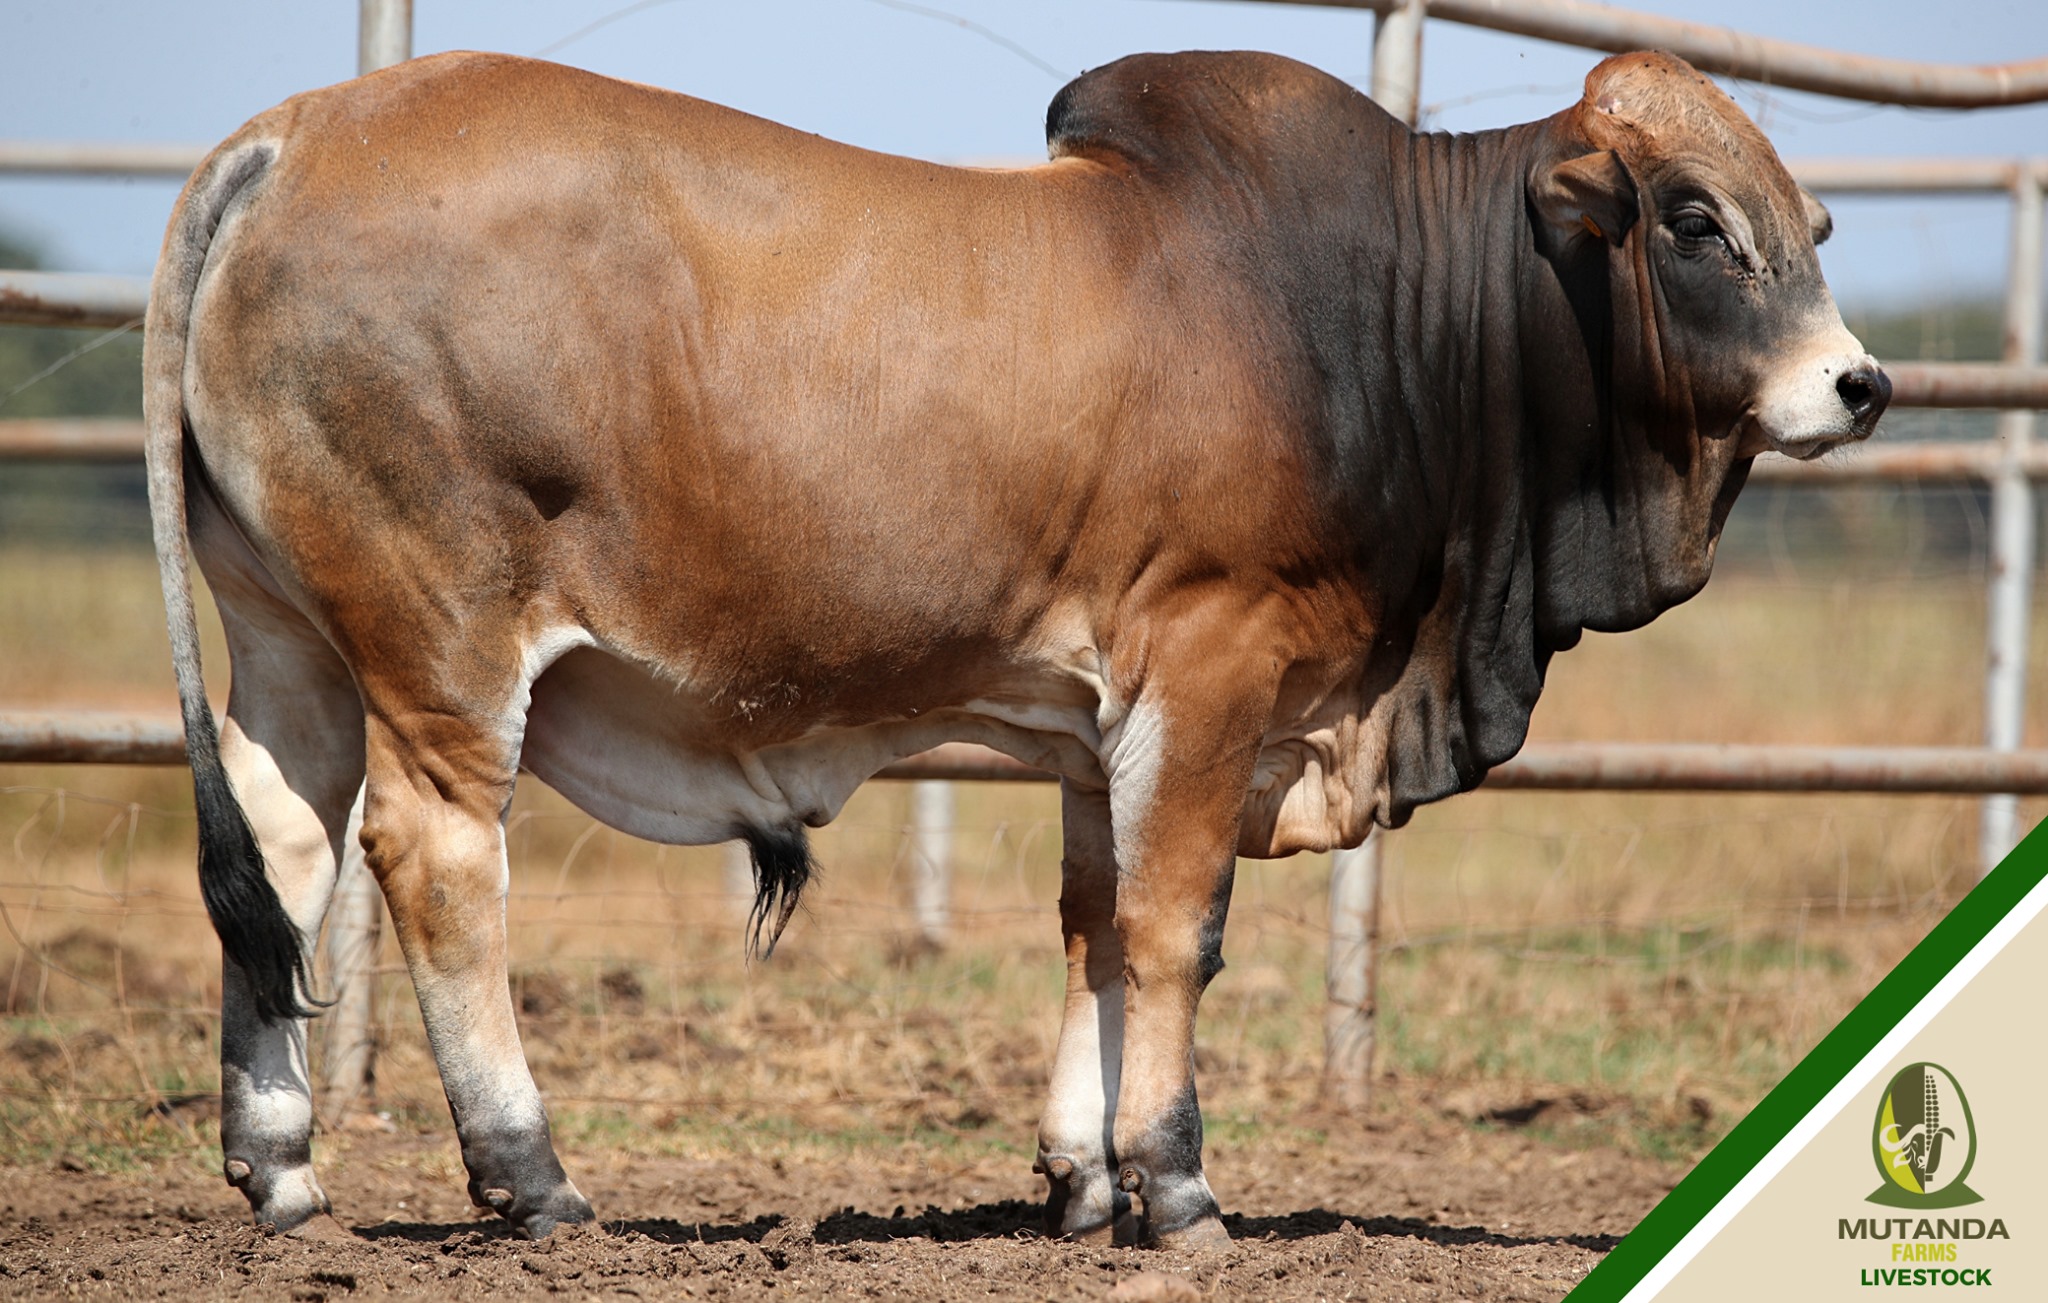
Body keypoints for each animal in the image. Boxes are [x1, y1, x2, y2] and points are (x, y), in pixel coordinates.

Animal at [144, 47, 1886, 1248]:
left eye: (1811, 220)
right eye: (1693, 219)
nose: (1860, 384)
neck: (1396, 320)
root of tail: (293, 136)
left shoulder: (1097, 717)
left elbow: (1094, 925)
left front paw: (1079, 1171)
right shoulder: (1211, 661)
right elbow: (1177, 929)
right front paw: (1176, 1184)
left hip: (292, 640)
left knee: (282, 838)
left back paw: (281, 1165)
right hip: (443, 644)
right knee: (435, 856)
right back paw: (532, 1174)